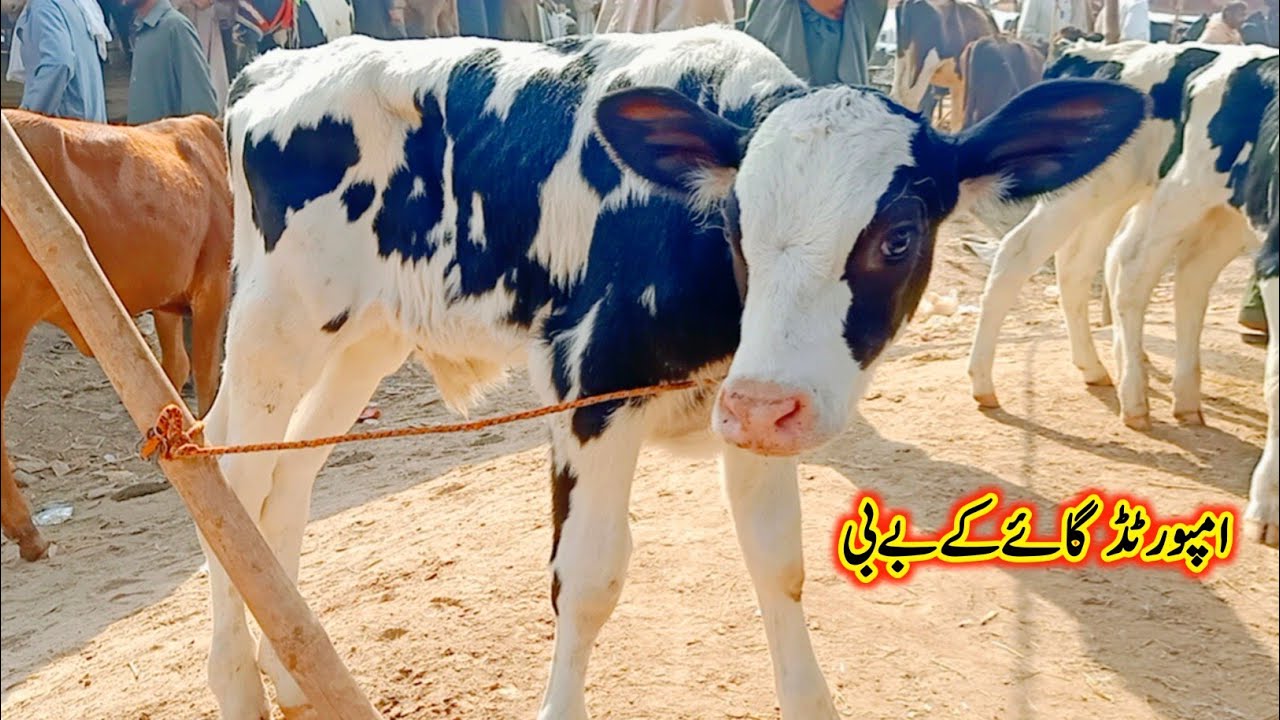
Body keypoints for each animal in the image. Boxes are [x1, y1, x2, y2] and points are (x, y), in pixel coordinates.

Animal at [214, 26, 1143, 719]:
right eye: (733, 224)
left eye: (900, 236)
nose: (767, 405)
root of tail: (279, 67)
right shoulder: (592, 386)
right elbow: (587, 580)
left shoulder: (749, 396)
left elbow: (779, 563)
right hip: (272, 325)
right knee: (232, 475)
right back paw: (239, 689)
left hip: (365, 333)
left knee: (289, 475)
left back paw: (291, 673)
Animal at [967, 42, 1275, 420]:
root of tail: (1088, 51)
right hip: (1114, 190)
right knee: (1027, 252)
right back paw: (985, 382)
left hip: (1139, 198)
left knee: (1088, 262)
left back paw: (1102, 367)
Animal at [1104, 55, 1278, 542]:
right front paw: (1266, 508)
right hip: (1187, 190)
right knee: (1132, 267)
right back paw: (1134, 397)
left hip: (1227, 216)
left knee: (1191, 277)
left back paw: (1183, 397)